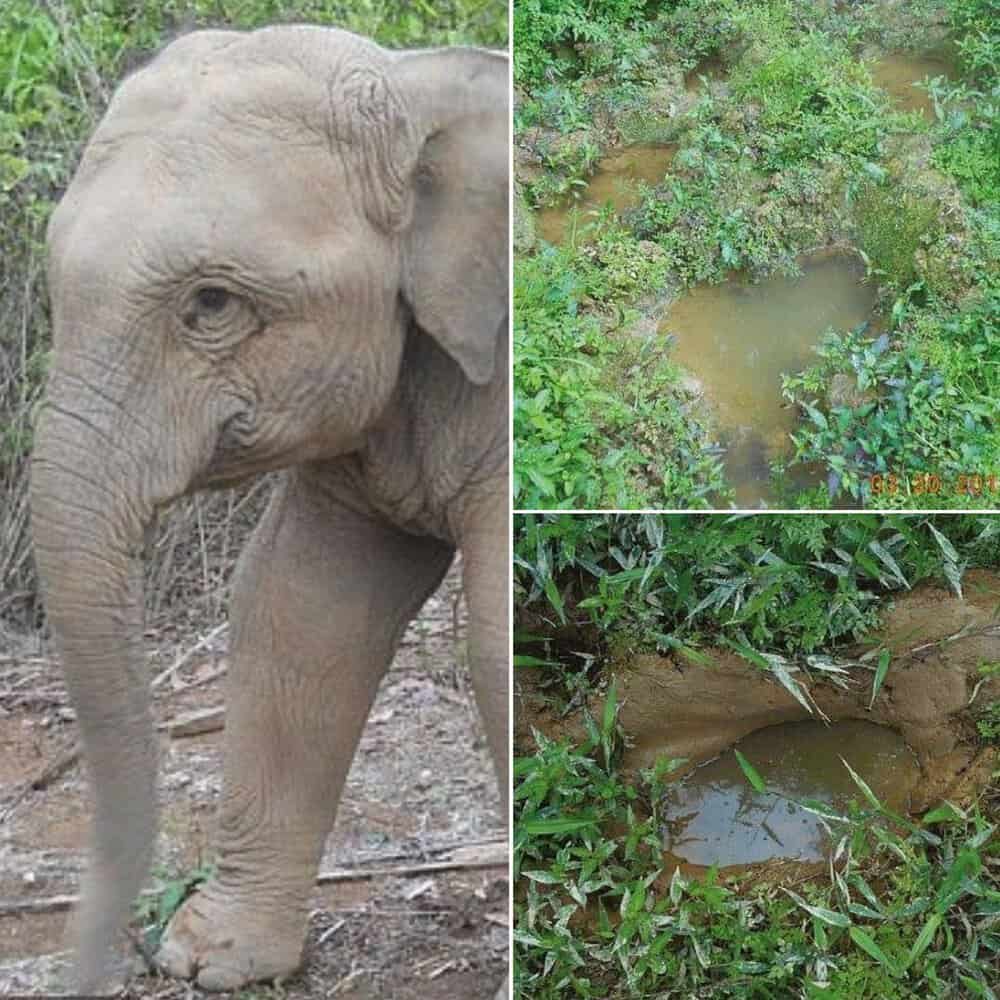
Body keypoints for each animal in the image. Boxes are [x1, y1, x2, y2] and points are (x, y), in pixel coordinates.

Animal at [29, 24, 509, 998]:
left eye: (211, 303)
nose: (110, 958)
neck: (422, 88)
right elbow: (299, 611)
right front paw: (214, 962)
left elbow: (494, 636)